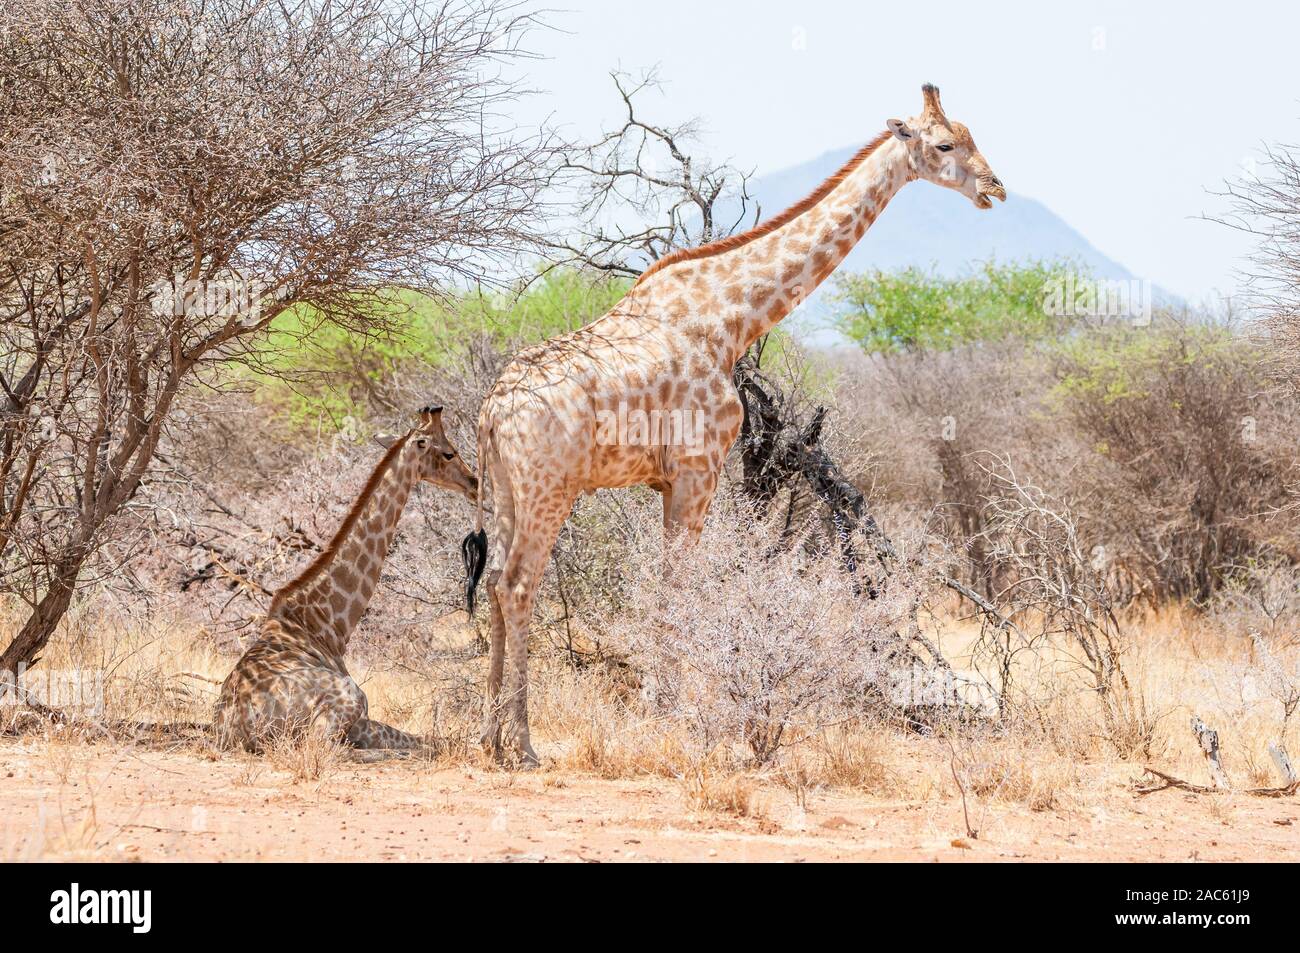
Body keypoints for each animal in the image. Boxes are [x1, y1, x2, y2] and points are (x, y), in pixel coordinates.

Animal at [215, 406, 476, 753]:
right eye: (449, 453)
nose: (475, 483)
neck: (326, 627)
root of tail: (235, 730)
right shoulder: (359, 715)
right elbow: (431, 740)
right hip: (342, 706)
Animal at [462, 84, 1006, 765]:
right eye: (945, 144)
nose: (996, 187)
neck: (728, 318)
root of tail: (491, 410)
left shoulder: (673, 480)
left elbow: (670, 586)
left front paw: (660, 705)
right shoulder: (697, 471)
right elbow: (675, 588)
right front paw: (664, 712)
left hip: (508, 491)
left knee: (494, 584)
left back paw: (489, 737)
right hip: (549, 489)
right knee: (516, 584)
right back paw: (525, 744)